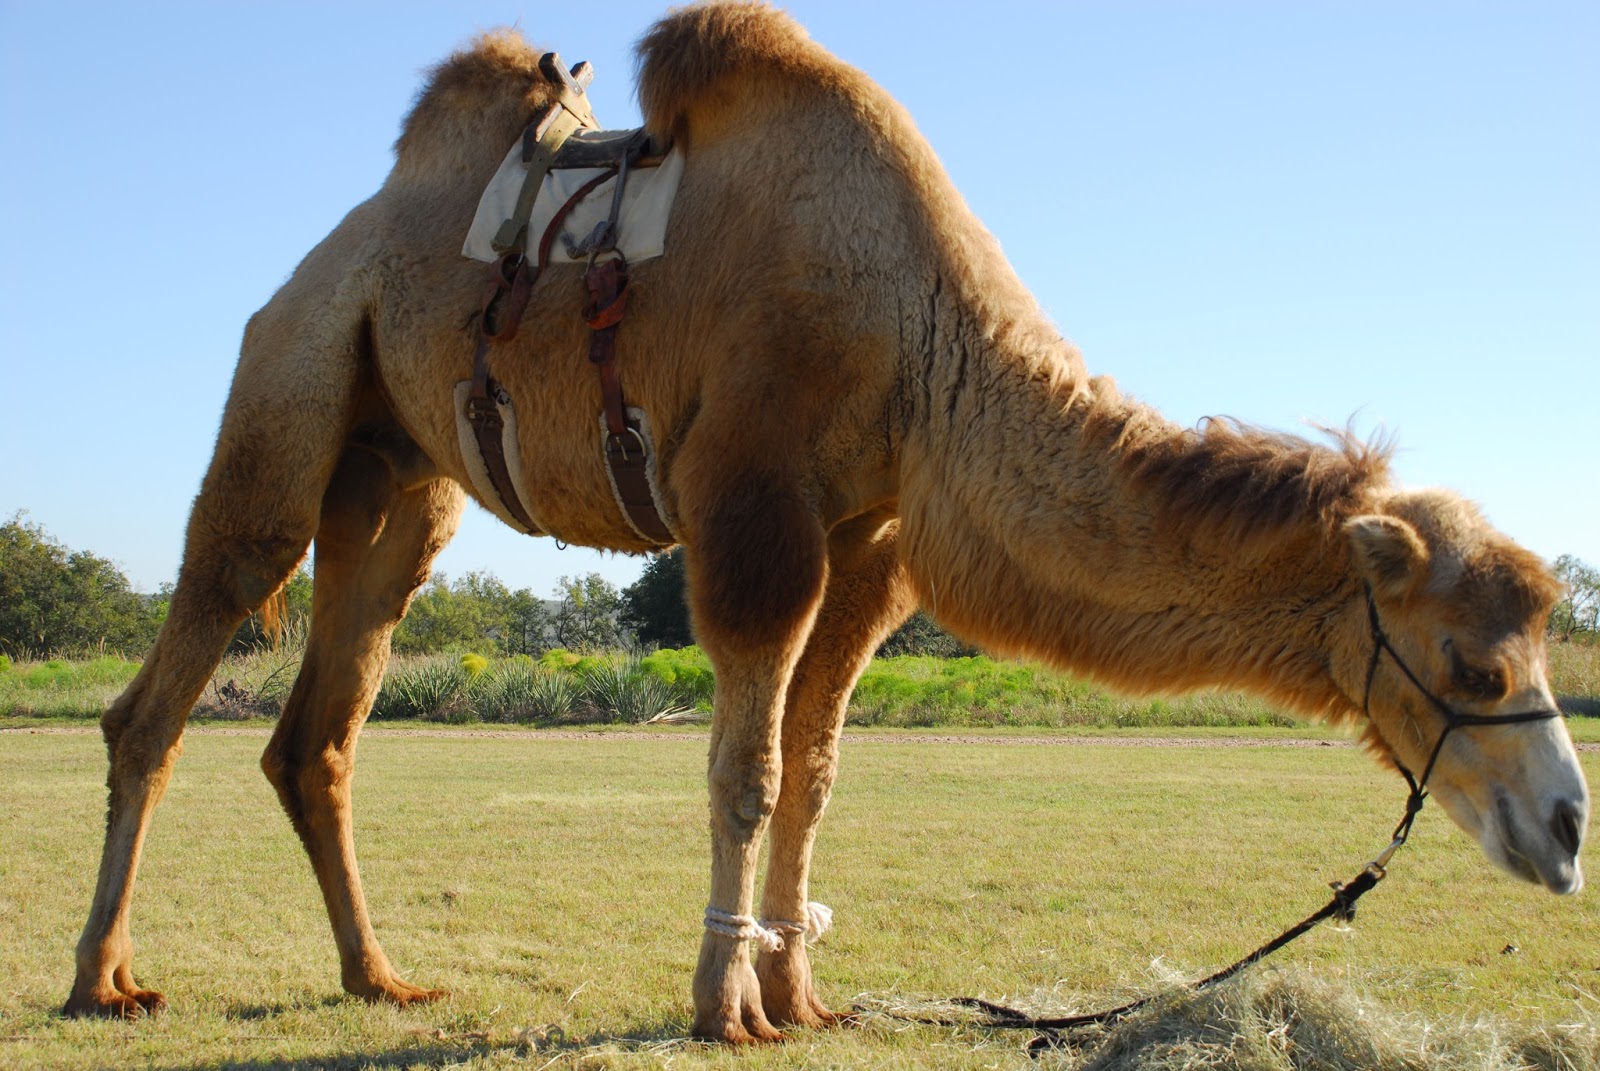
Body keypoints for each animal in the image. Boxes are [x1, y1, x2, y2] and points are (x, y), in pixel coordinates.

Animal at [66, 1, 1587, 1045]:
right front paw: (722, 1002)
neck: (919, 334)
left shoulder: (872, 537)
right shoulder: (755, 498)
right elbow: (742, 767)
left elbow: (815, 766)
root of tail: (327, 251)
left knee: (318, 727)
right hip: (292, 384)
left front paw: (802, 992)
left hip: (399, 478)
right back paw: (104, 978)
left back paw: (377, 976)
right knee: (180, 658)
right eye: (1472, 666)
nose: (1567, 827)